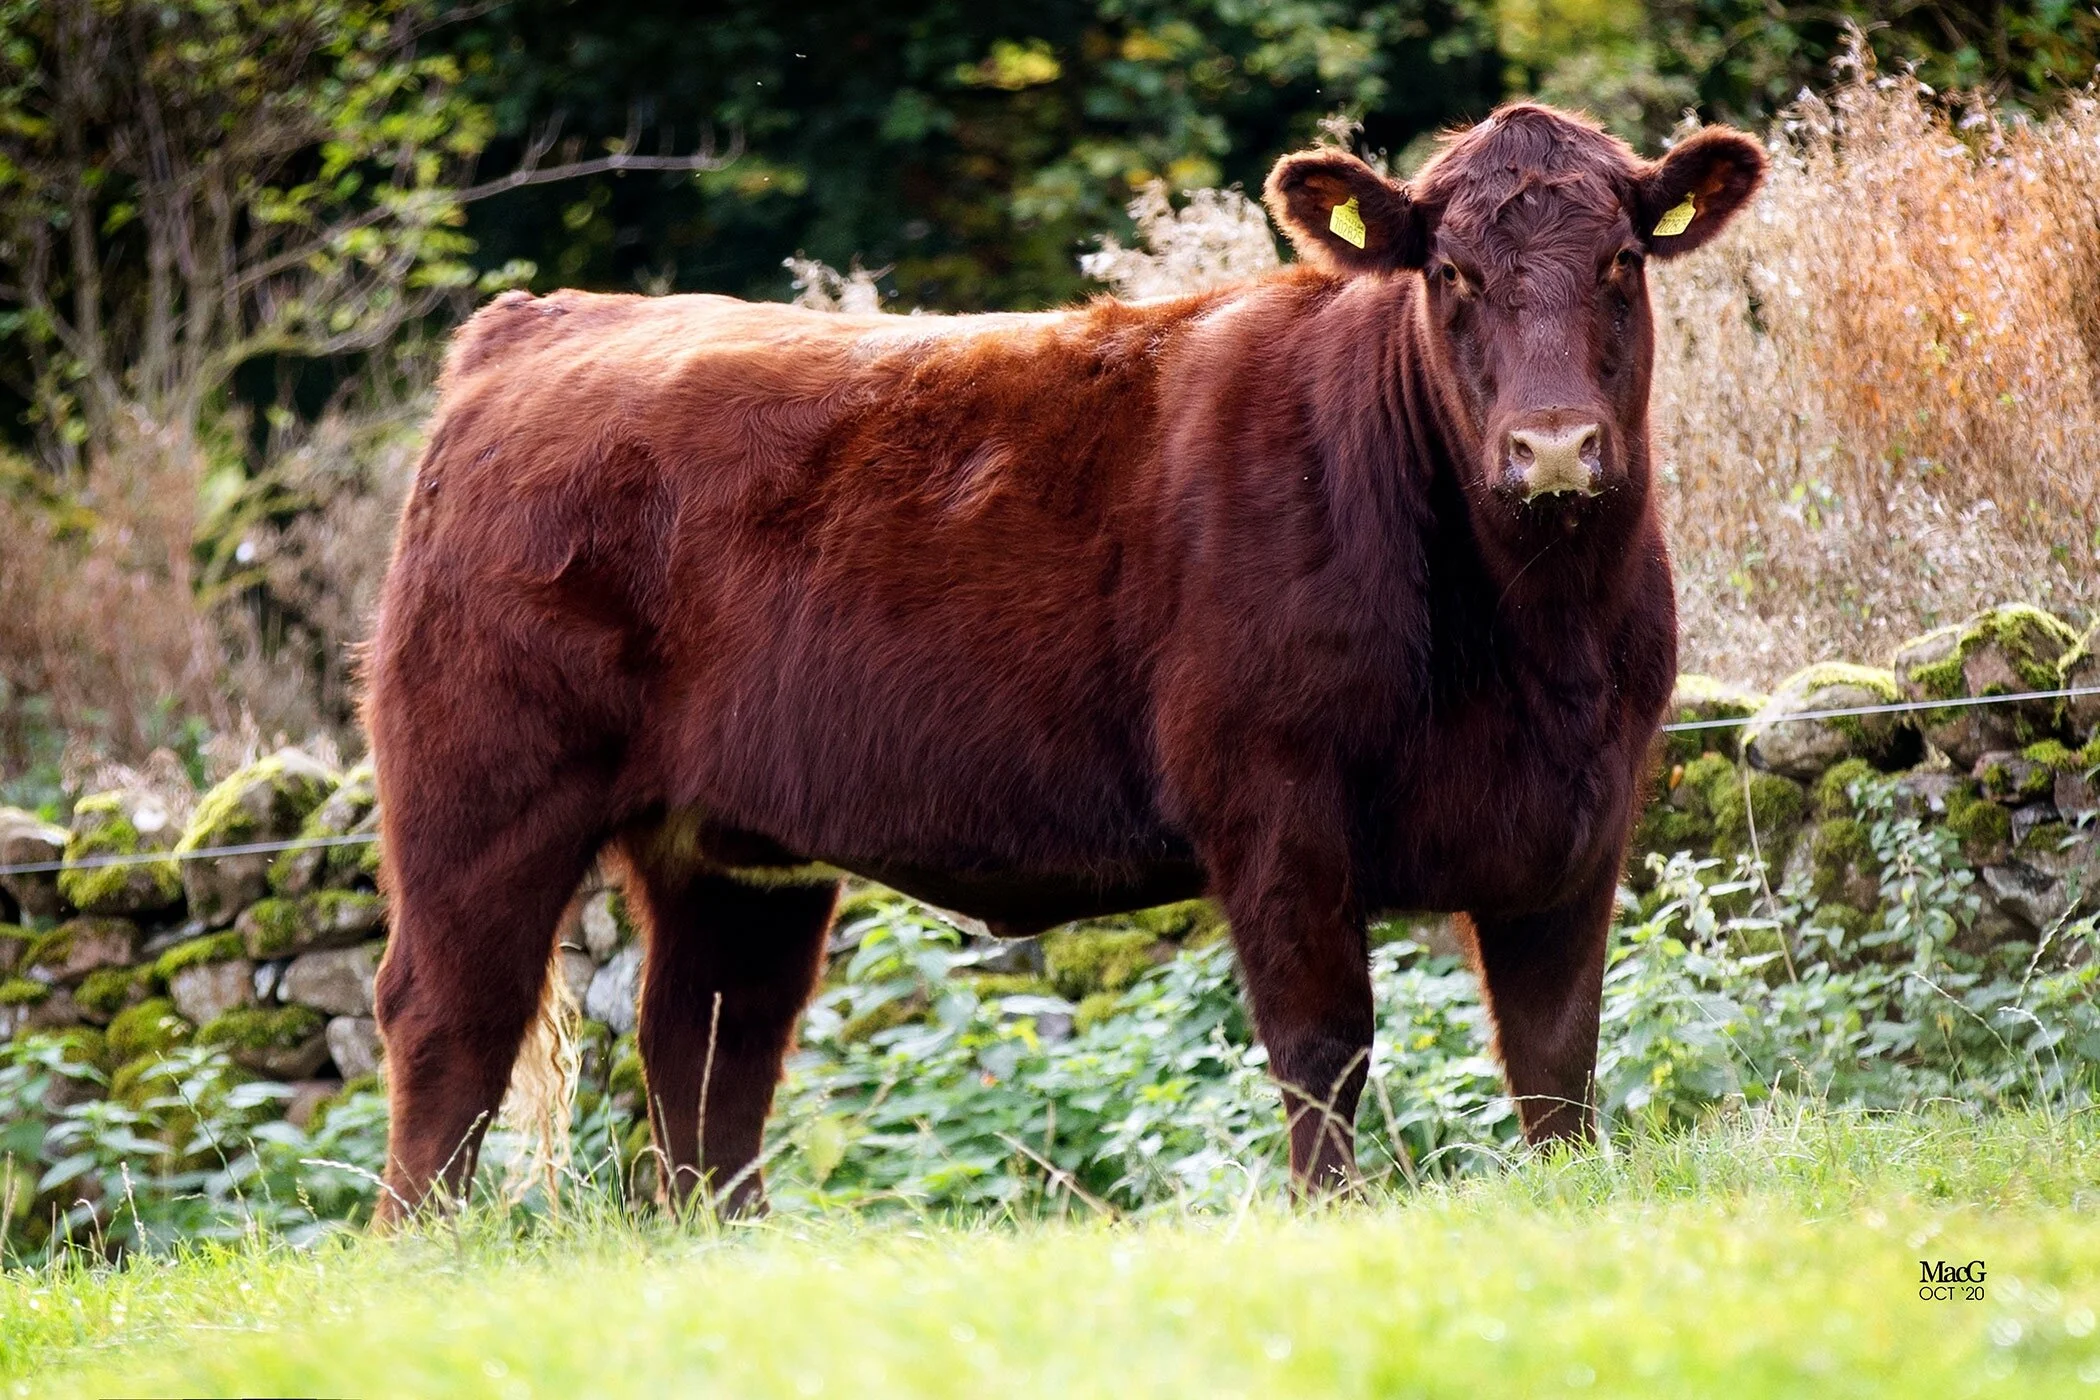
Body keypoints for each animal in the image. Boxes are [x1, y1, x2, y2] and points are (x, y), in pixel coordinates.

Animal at [363, 102, 1765, 1224]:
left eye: (1622, 258)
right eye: (1454, 271)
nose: (1555, 447)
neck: (1531, 640)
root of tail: (543, 320)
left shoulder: (1583, 812)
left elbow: (1557, 1050)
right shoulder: (1273, 800)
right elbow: (1323, 1041)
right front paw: (1334, 1214)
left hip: (735, 848)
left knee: (708, 1044)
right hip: (480, 789)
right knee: (451, 1017)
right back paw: (426, 1244)